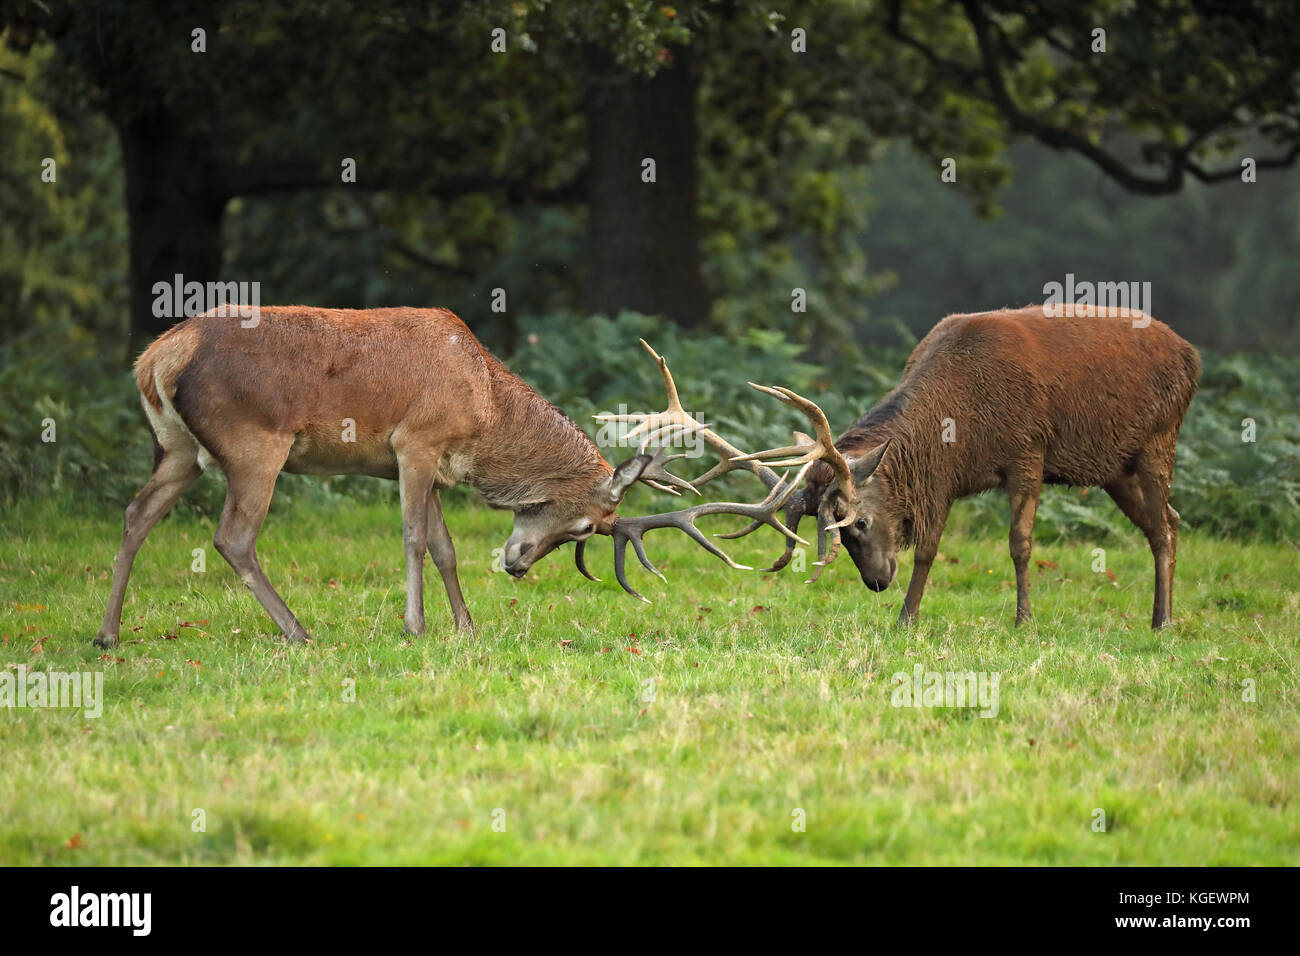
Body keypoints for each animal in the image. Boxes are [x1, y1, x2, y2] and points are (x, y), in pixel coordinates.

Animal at [95, 306, 806, 648]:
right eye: (584, 526)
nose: (517, 566)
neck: (483, 407)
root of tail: (158, 356)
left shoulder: (436, 466)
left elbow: (445, 546)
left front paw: (465, 627)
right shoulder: (414, 443)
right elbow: (413, 538)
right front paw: (415, 627)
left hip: (175, 448)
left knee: (135, 514)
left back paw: (107, 634)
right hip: (253, 443)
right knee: (233, 537)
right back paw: (298, 631)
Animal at [604, 307, 1202, 630]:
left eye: (858, 522)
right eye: (837, 535)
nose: (875, 582)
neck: (961, 429)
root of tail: (1191, 353)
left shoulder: (1028, 454)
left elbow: (1020, 543)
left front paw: (1023, 619)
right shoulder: (943, 479)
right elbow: (931, 547)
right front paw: (908, 618)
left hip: (1160, 437)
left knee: (1164, 525)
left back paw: (1164, 620)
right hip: (1115, 466)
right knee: (1169, 521)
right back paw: (1161, 614)